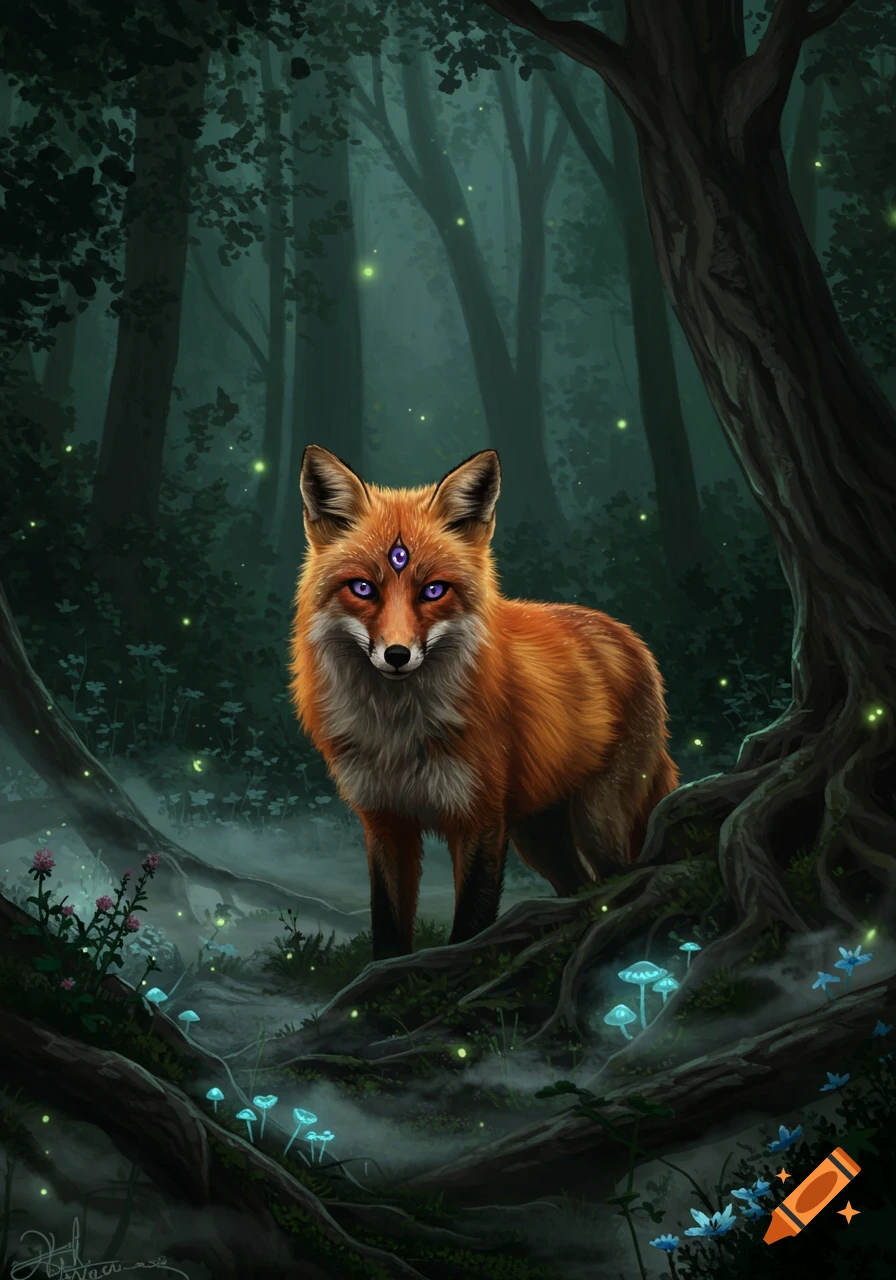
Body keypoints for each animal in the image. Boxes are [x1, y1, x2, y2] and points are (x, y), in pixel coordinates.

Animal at [289, 445, 679, 961]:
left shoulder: (481, 818)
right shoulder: (386, 821)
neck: (399, 733)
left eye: (433, 590)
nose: (397, 655)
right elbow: (388, 926)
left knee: (616, 877)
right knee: (580, 888)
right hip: (540, 835)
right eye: (363, 589)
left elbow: (471, 925)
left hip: (595, 821)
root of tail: (627, 635)